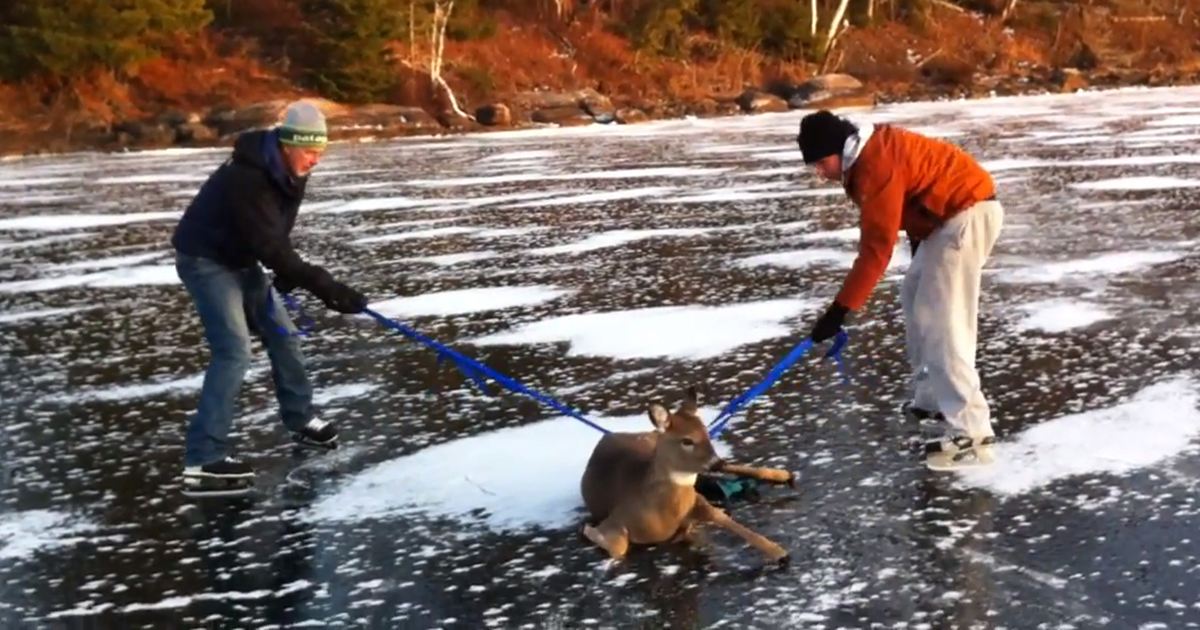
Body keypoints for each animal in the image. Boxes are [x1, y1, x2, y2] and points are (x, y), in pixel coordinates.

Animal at [578, 385, 793, 565]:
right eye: (687, 441)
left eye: (706, 433)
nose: (717, 462)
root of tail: (608, 435)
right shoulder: (617, 517)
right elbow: (618, 546)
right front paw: (589, 530)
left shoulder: (695, 500)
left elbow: (716, 515)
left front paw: (778, 551)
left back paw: (782, 474)